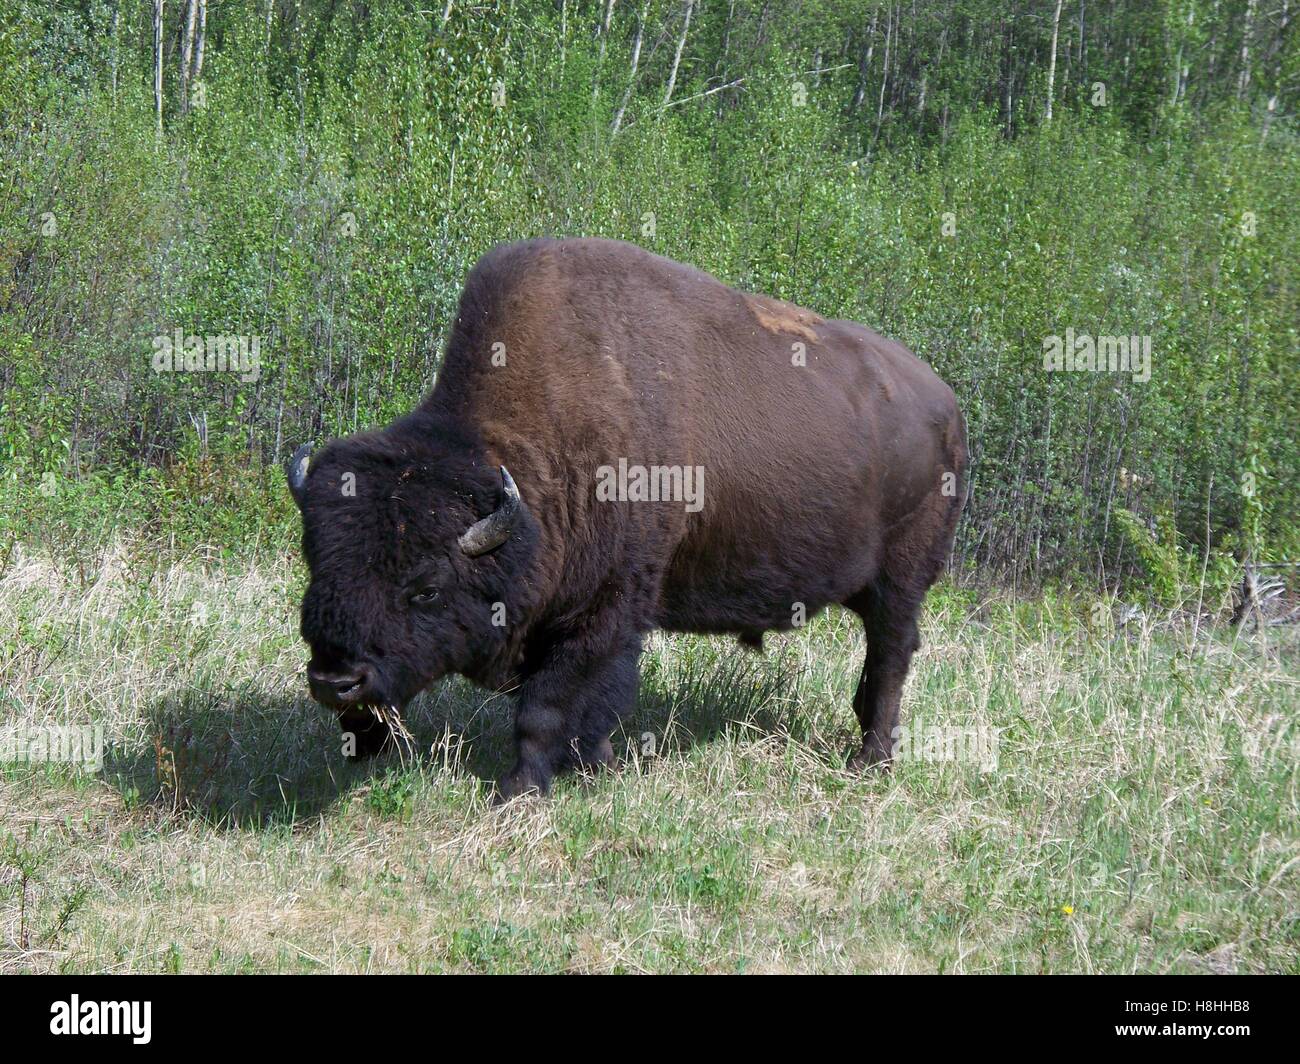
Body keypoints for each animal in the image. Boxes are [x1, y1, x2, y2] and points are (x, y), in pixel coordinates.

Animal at [287, 237, 966, 798]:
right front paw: (600, 767)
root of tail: (946, 404)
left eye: (426, 589)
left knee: (891, 656)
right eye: (316, 565)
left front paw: (519, 791)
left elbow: (546, 709)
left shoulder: (604, 611)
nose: (335, 680)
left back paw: (870, 761)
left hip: (901, 582)